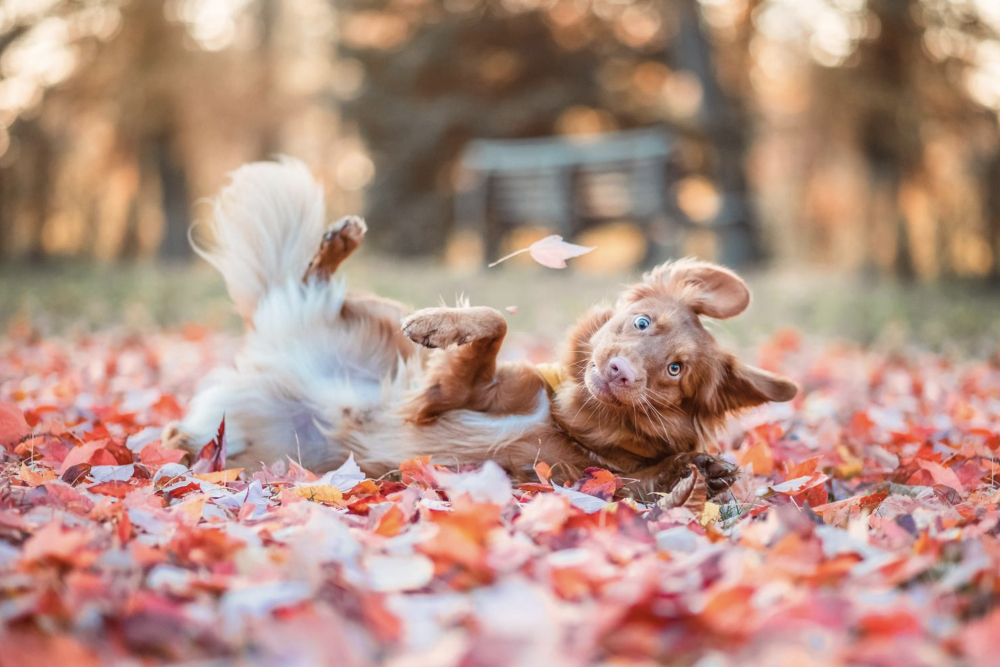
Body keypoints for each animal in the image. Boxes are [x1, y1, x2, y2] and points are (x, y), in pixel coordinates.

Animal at [162, 159, 796, 496]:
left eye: (675, 370)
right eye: (641, 322)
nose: (618, 372)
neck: (571, 420)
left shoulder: (578, 479)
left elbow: (656, 478)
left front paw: (705, 472)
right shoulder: (449, 392)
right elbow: (492, 322)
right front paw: (437, 326)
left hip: (259, 450)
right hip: (377, 319)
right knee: (311, 283)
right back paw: (339, 241)